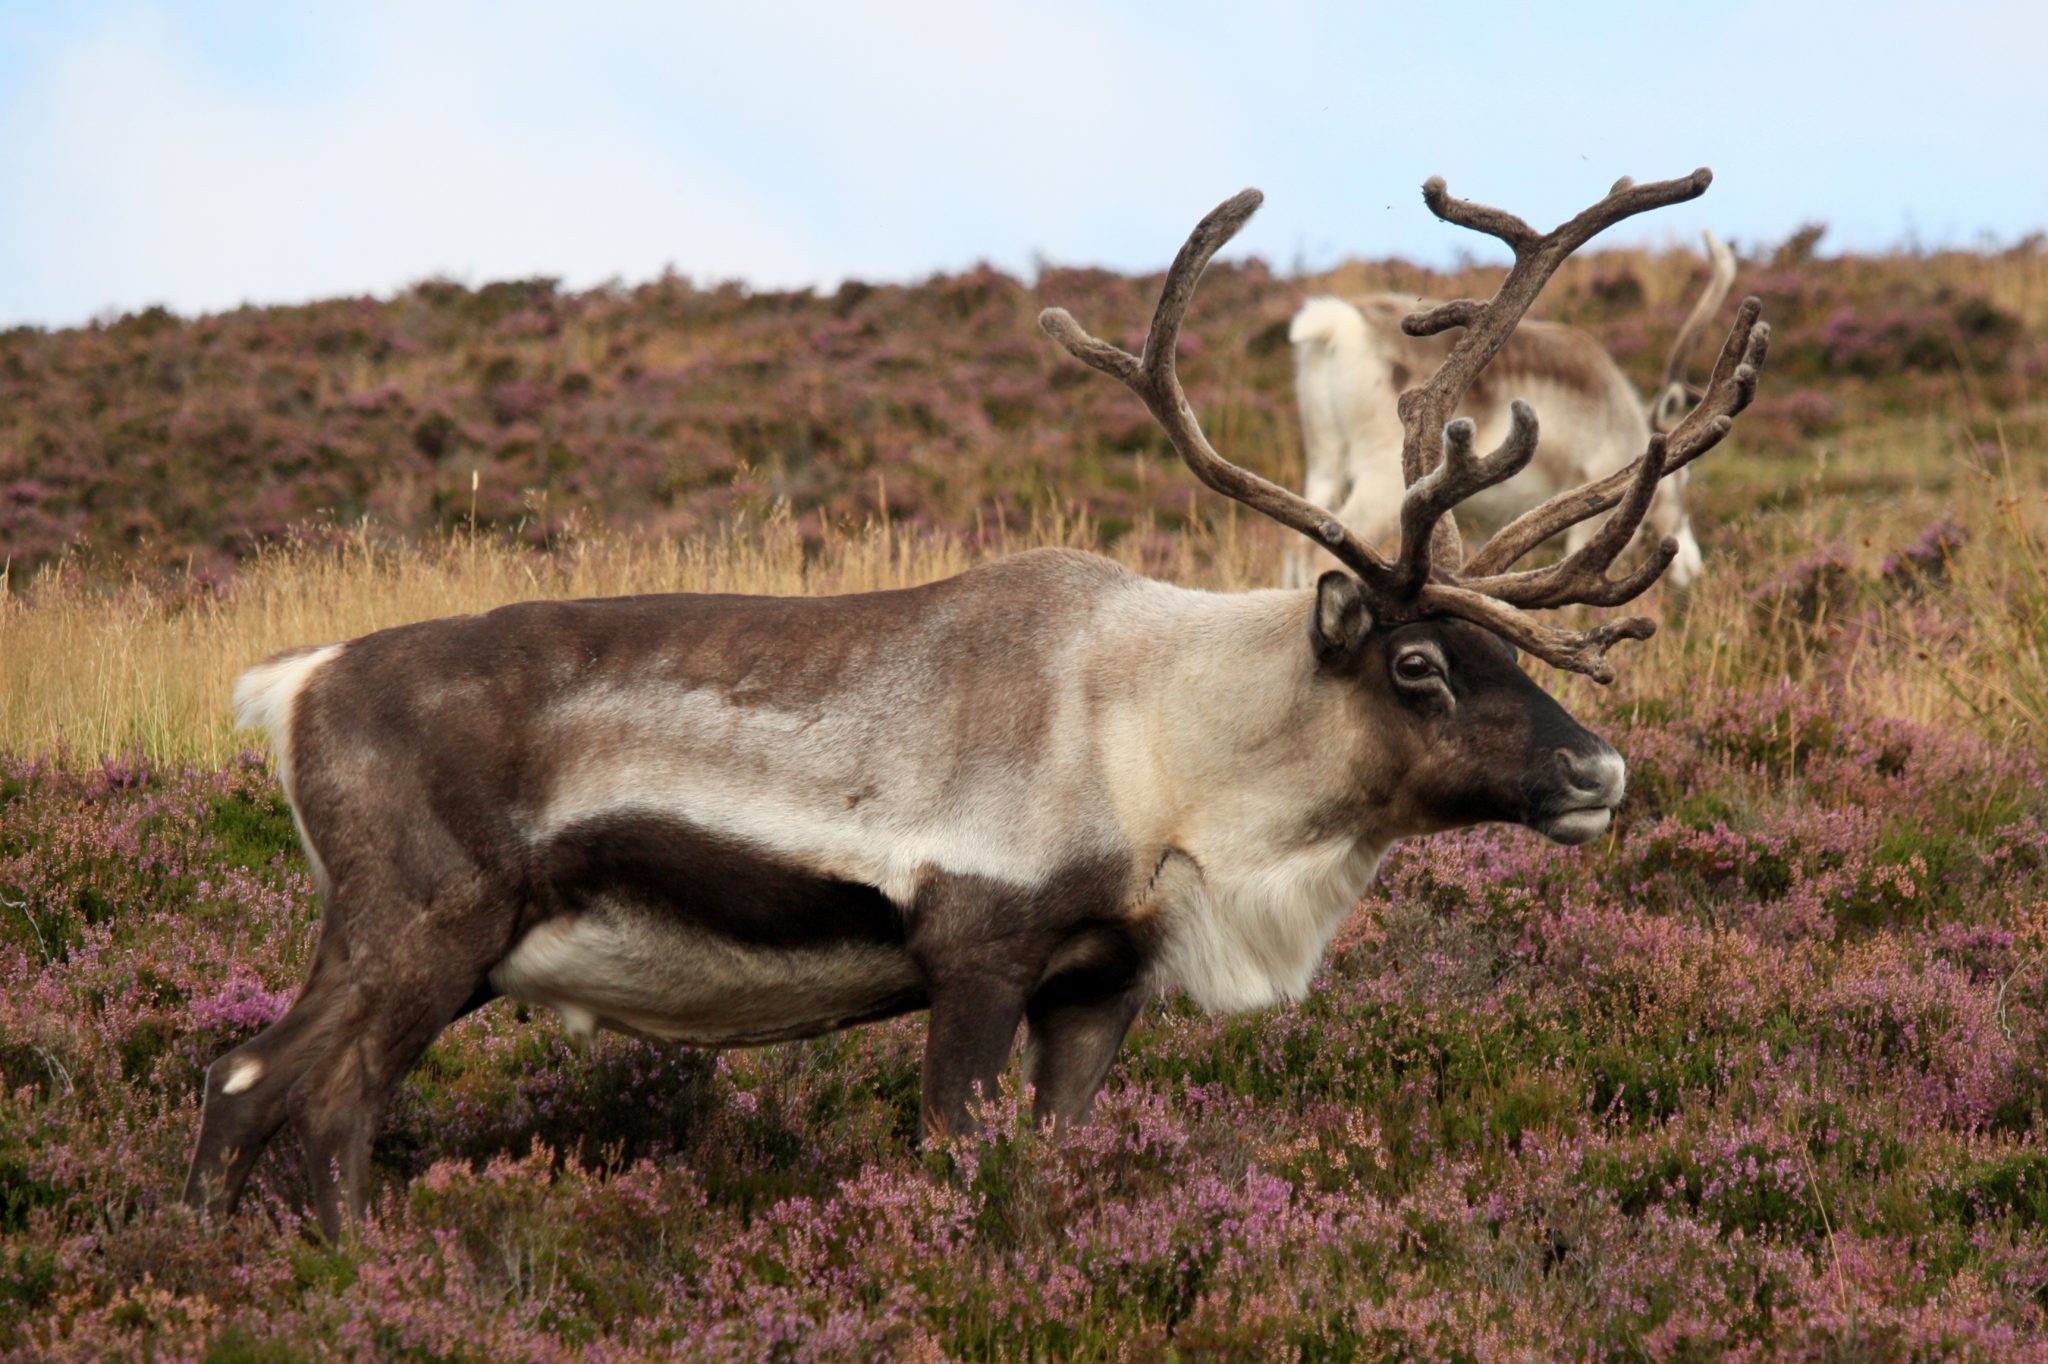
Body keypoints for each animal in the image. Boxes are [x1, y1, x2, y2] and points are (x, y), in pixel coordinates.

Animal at [1284, 230, 1738, 591]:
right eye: (1682, 473)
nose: (1692, 566)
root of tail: (1337, 327)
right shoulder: (1589, 504)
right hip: (1381, 474)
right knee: (1318, 553)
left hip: (1323, 460)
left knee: (1299, 543)